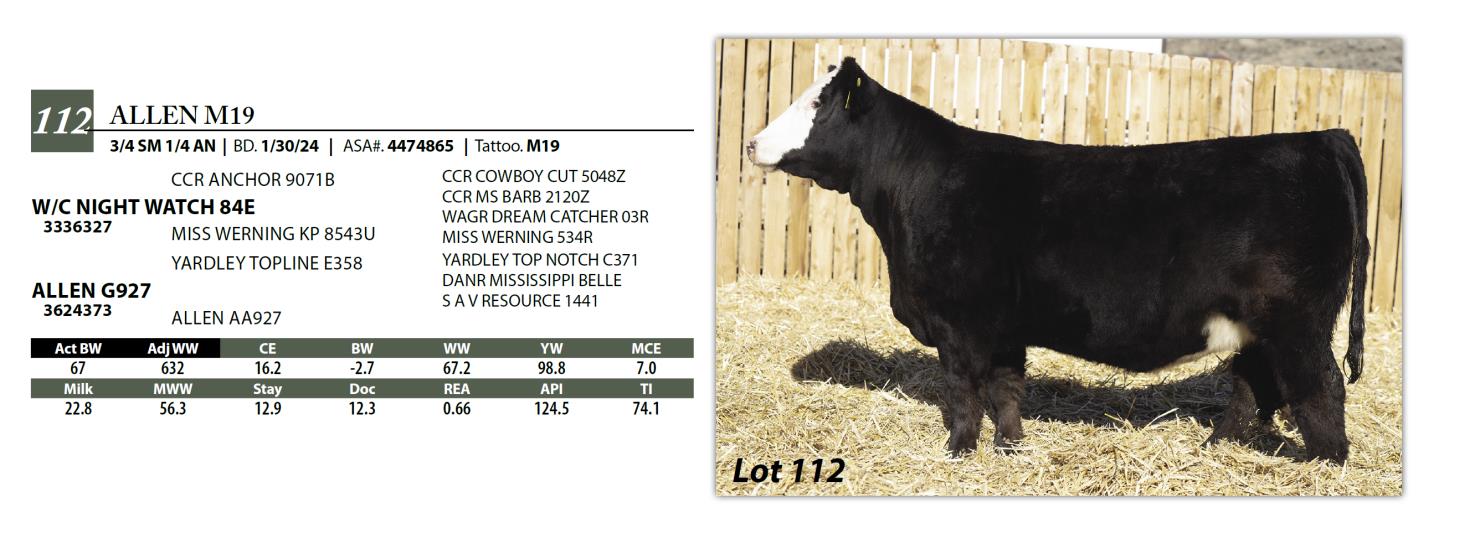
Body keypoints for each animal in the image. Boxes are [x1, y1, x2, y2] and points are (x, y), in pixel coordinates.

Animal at [746, 57, 1369, 463]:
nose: (752, 143)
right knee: (1253, 386)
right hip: (1261, 325)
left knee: (1320, 388)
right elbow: (1006, 389)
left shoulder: (960, 322)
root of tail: (1323, 137)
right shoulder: (1003, 327)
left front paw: (958, 451)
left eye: (817, 104)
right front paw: (1010, 445)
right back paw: (1214, 448)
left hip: (1298, 321)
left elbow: (963, 391)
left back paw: (1324, 464)